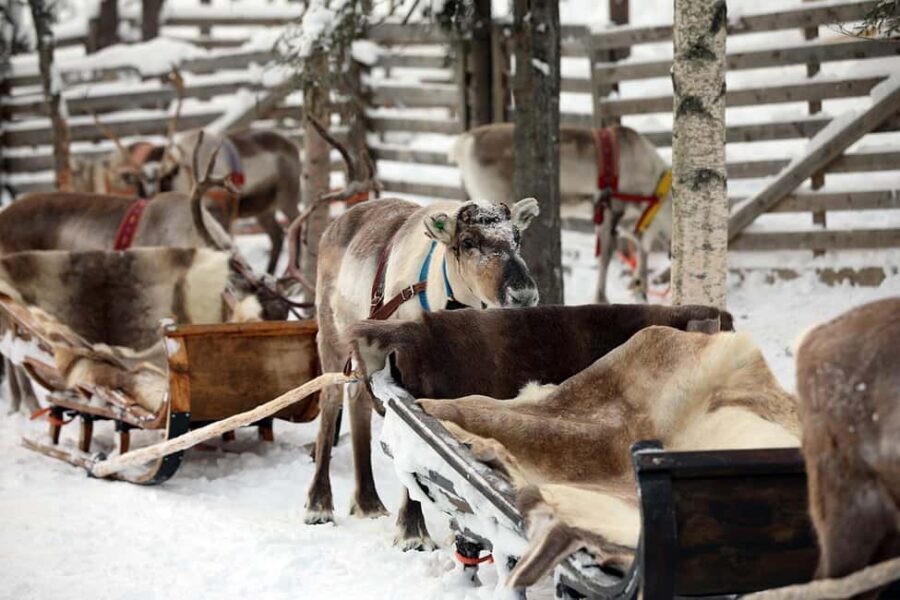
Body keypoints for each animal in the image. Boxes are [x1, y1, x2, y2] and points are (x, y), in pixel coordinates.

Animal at [449, 123, 673, 303]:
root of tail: (463, 143)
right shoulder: (611, 208)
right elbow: (608, 254)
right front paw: (602, 297)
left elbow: (640, 245)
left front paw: (639, 288)